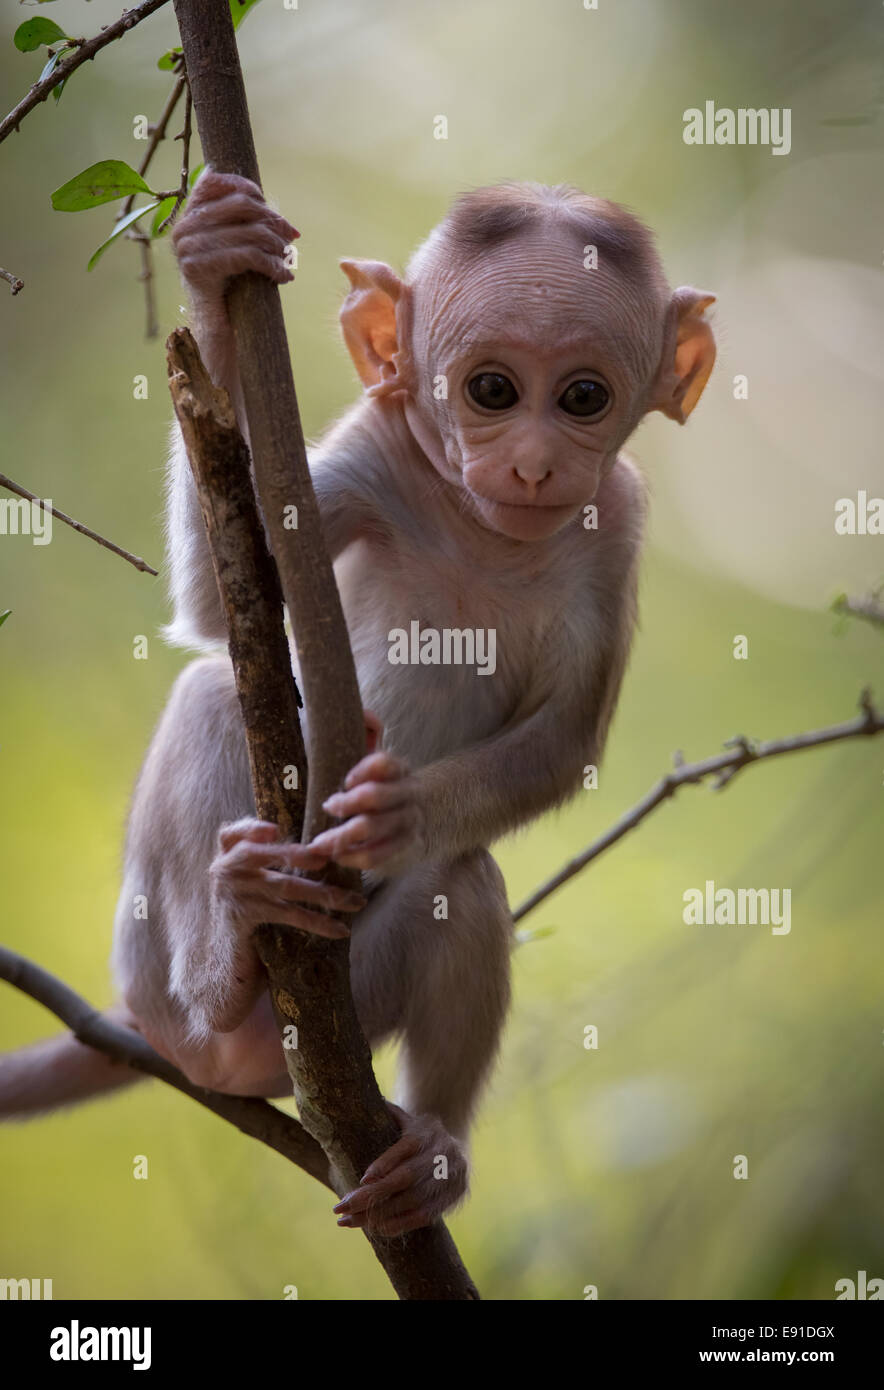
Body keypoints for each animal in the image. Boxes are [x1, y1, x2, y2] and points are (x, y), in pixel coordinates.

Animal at [0, 173, 715, 1236]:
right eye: (491, 390)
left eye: (584, 396)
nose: (536, 465)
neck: (480, 530)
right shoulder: (374, 454)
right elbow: (221, 598)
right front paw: (215, 271)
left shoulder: (615, 526)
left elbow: (565, 743)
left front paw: (399, 814)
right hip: (145, 963)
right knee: (211, 694)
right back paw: (229, 961)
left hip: (351, 993)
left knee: (462, 885)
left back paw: (429, 1153)